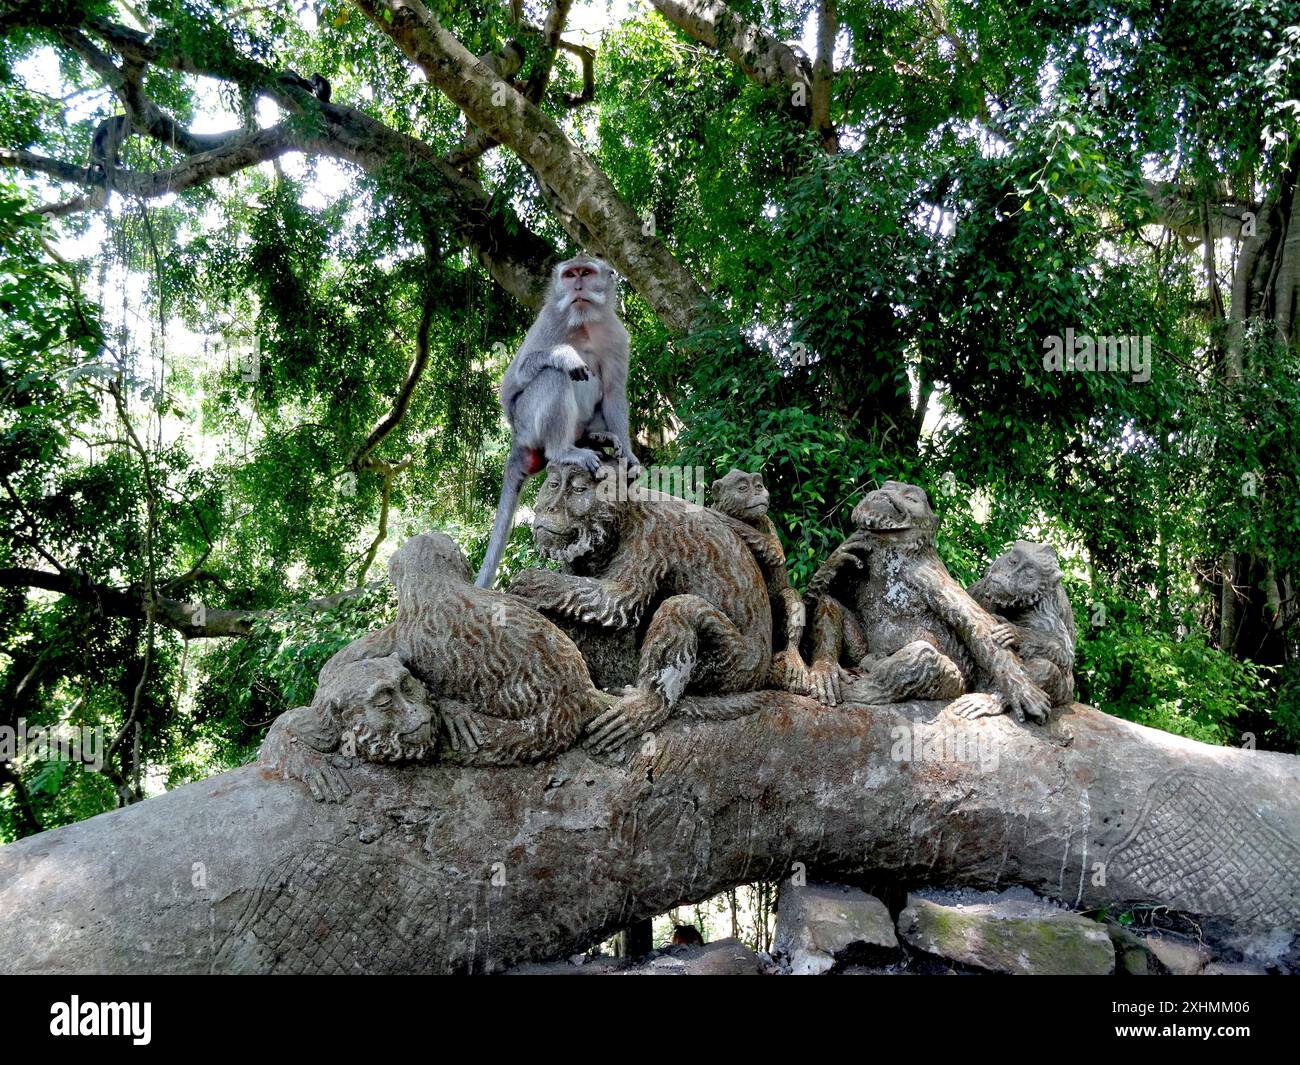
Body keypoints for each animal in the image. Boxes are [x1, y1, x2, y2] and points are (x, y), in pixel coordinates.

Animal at [475, 253, 640, 588]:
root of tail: (518, 440)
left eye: (586, 273)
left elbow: (614, 391)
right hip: (527, 422)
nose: (577, 286)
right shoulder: (548, 321)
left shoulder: (616, 334)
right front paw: (564, 354)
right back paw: (564, 450)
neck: (584, 321)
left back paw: (594, 439)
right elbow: (512, 383)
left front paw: (628, 456)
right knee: (553, 376)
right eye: (569, 275)